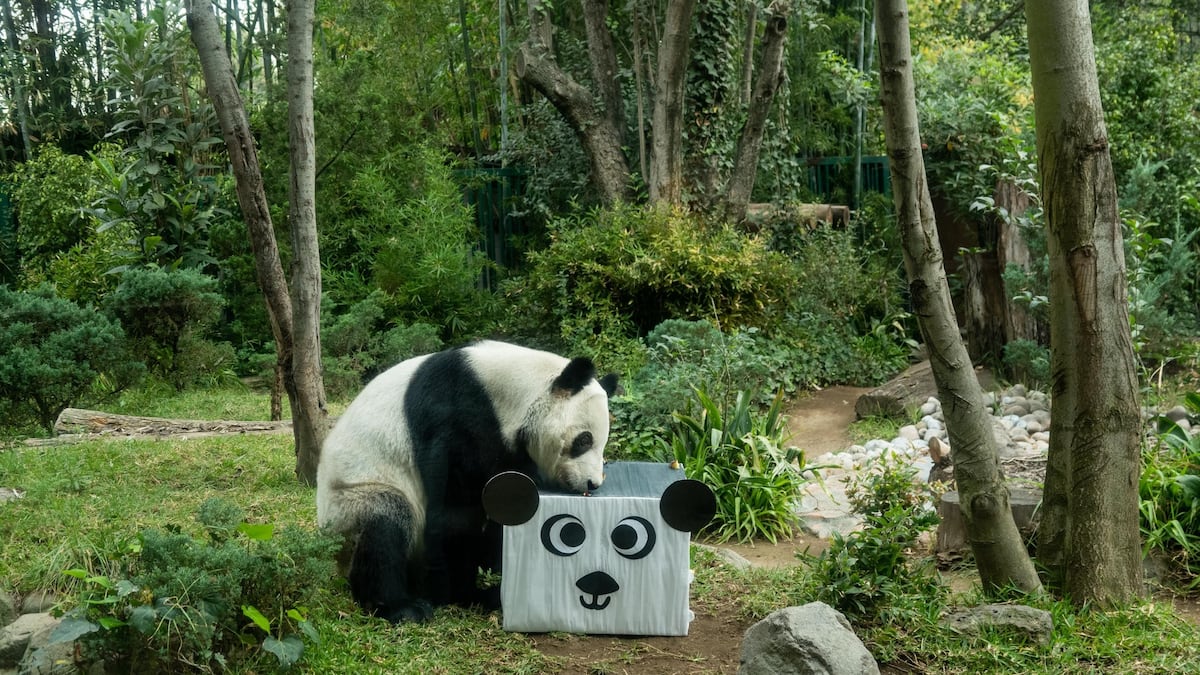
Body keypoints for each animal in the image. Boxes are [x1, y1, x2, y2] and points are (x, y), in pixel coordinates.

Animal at [316, 340, 618, 623]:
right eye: (584, 440)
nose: (592, 483)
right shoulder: (458, 415)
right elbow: (455, 510)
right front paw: (464, 592)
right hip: (352, 499)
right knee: (386, 526)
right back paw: (401, 606)